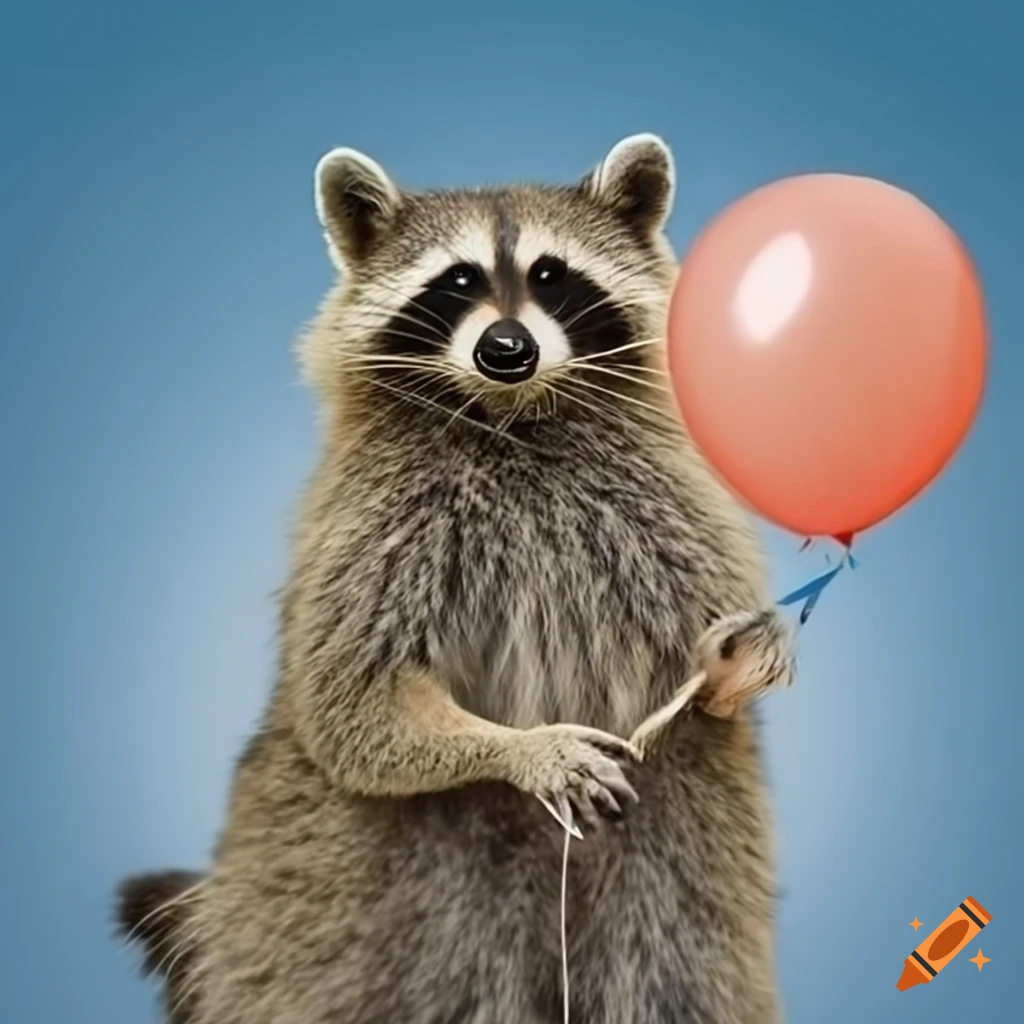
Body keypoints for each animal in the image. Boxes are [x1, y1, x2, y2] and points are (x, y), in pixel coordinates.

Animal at [115, 134, 793, 1024]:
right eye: (459, 281)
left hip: (687, 856)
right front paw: (522, 747)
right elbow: (352, 704)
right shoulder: (375, 522)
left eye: (551, 275)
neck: (511, 416)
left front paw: (745, 654)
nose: (507, 351)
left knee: (677, 976)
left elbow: (706, 674)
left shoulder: (669, 506)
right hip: (349, 886)